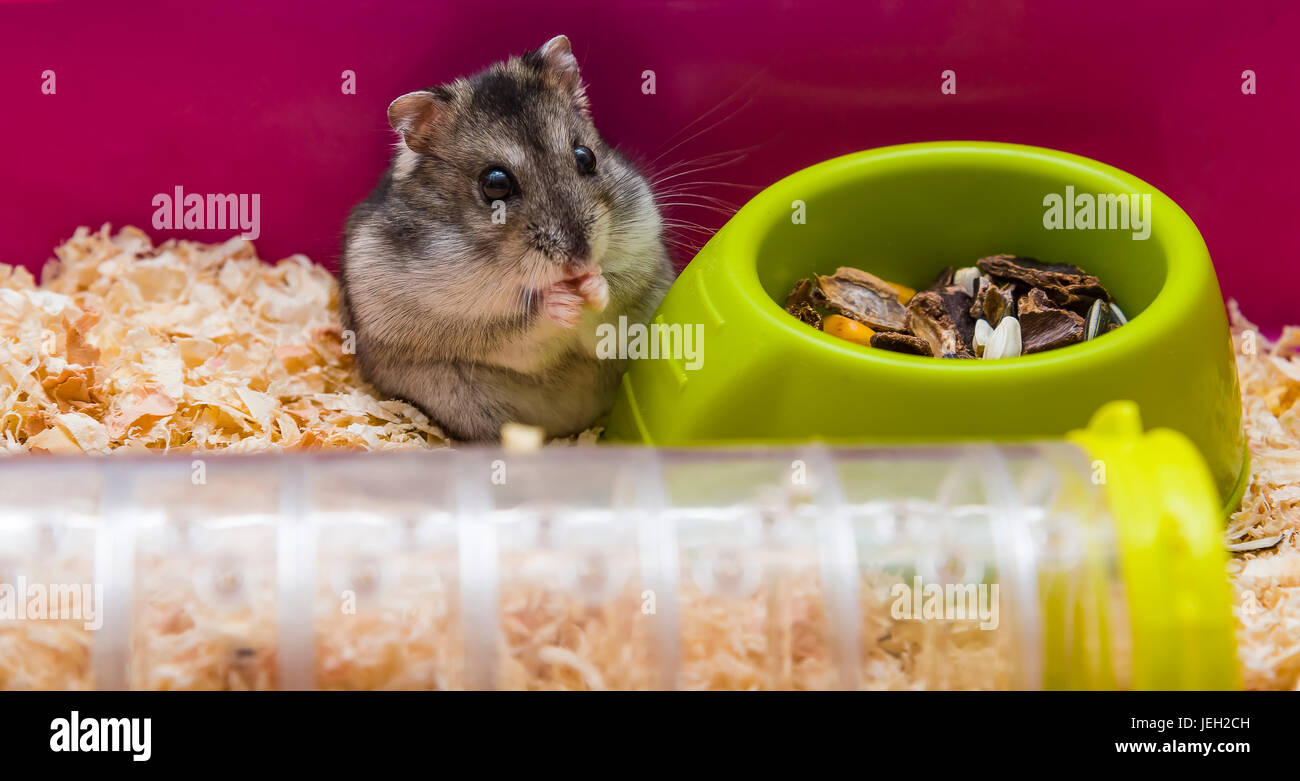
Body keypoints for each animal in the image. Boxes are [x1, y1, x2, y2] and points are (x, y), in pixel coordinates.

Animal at [339, 35, 674, 441]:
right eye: (495, 184)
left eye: (586, 157)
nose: (580, 262)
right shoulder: (470, 323)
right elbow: (525, 324)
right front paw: (560, 299)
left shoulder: (639, 260)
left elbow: (608, 316)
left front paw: (594, 286)